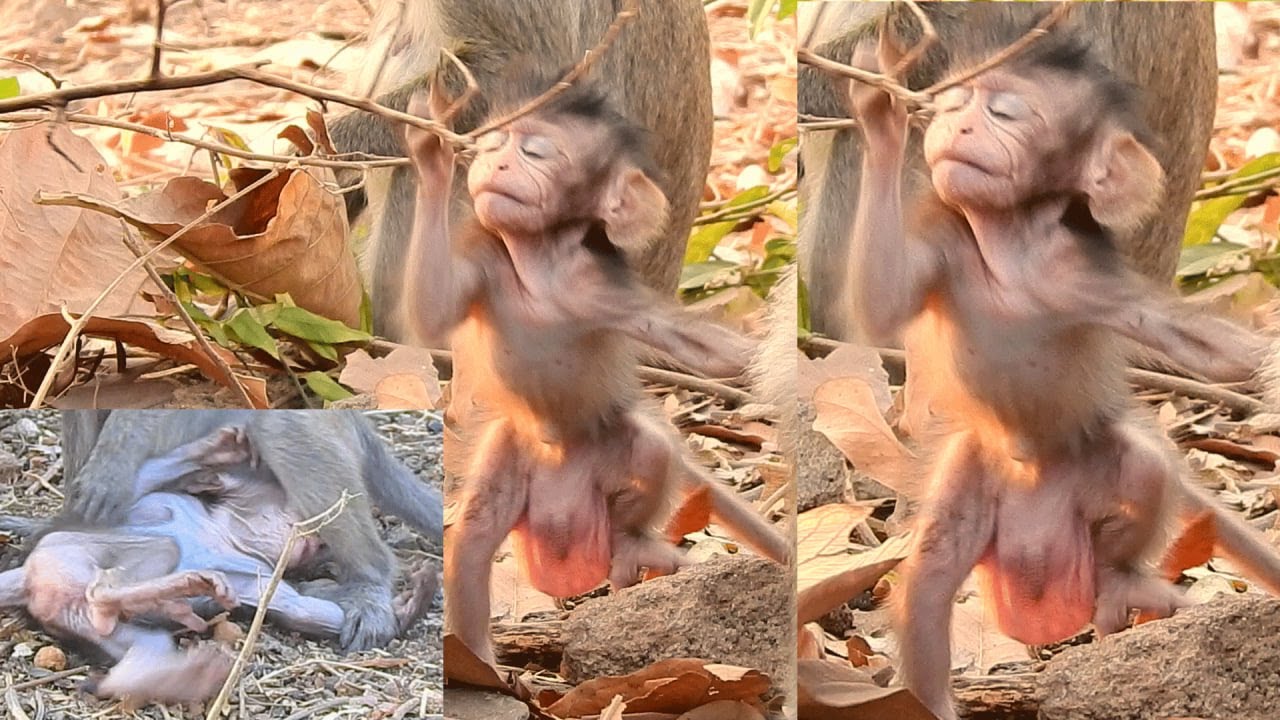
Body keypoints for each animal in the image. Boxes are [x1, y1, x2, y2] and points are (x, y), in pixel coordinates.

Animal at [400, 77, 791, 666]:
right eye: (495, 144)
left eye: (536, 152)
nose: (496, 163)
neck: (540, 266)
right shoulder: (487, 262)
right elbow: (431, 312)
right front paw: (429, 151)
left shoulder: (603, 288)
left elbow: (705, 351)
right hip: (514, 453)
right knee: (472, 537)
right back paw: (478, 660)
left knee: (651, 446)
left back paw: (632, 541)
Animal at [841, 27, 1280, 720]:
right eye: (958, 101)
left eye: (1005, 113)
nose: (960, 124)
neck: (1010, 249)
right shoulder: (946, 242)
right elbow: (881, 304)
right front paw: (878, 115)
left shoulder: (1085, 276)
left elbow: (1198, 346)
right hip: (977, 472)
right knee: (931, 576)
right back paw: (932, 693)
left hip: (1087, 479)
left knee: (1144, 467)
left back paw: (1122, 581)